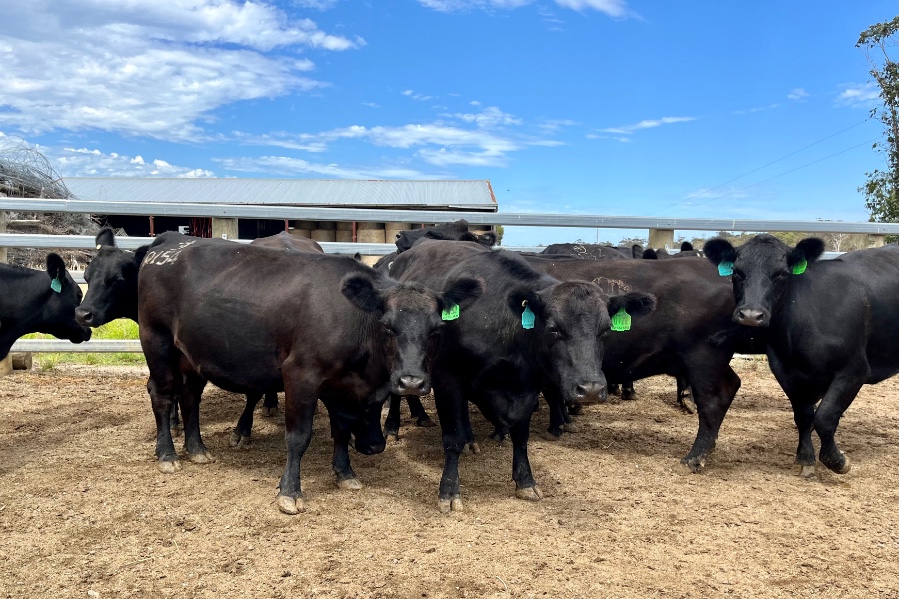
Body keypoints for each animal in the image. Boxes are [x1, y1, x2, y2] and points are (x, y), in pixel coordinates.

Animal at [137, 232, 482, 515]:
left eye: (436, 330)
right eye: (387, 326)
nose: (411, 381)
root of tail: (170, 244)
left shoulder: (340, 386)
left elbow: (341, 430)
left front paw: (345, 474)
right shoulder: (300, 375)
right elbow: (298, 437)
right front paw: (290, 492)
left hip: (190, 356)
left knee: (190, 397)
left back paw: (197, 449)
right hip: (157, 342)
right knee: (162, 395)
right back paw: (167, 455)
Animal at [389, 240, 656, 512]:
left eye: (605, 330)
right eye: (553, 329)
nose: (590, 389)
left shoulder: (528, 387)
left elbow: (521, 436)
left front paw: (525, 481)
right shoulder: (448, 378)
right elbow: (452, 439)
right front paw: (449, 492)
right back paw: (394, 427)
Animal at [703, 235, 899, 475]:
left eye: (781, 273)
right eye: (737, 272)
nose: (750, 315)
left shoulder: (853, 371)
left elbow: (825, 417)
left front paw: (837, 460)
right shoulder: (786, 371)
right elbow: (804, 416)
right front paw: (805, 458)